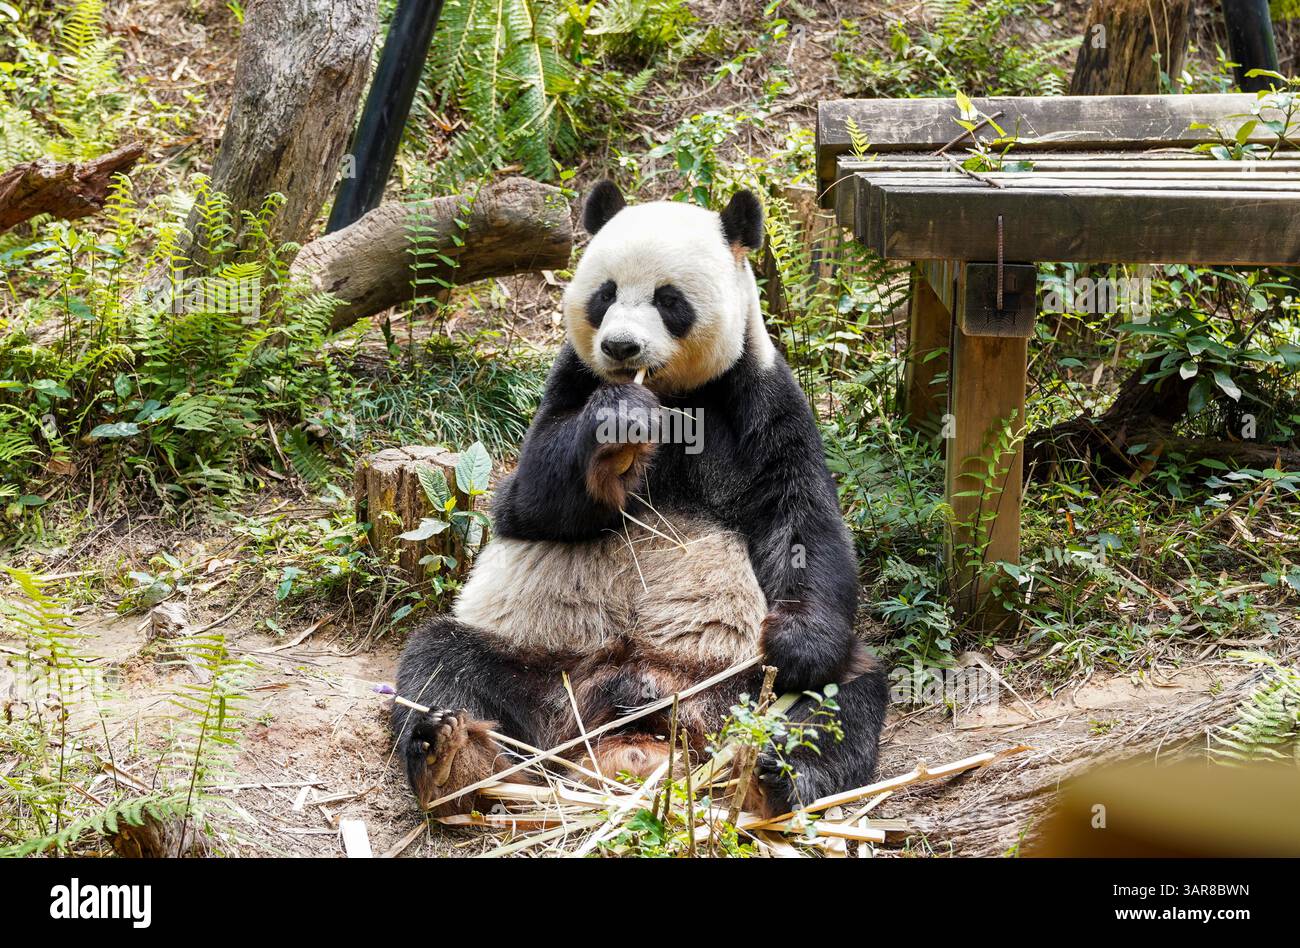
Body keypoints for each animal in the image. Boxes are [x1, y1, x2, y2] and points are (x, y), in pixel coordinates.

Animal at [391, 181, 888, 818]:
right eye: (604, 294)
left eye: (668, 299)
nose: (621, 346)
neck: (671, 396)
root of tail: (635, 728)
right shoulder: (572, 380)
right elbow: (530, 501)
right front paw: (617, 432)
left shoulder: (760, 398)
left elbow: (800, 520)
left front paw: (797, 642)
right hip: (543, 664)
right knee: (442, 662)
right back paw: (453, 759)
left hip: (734, 681)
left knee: (842, 695)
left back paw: (775, 778)